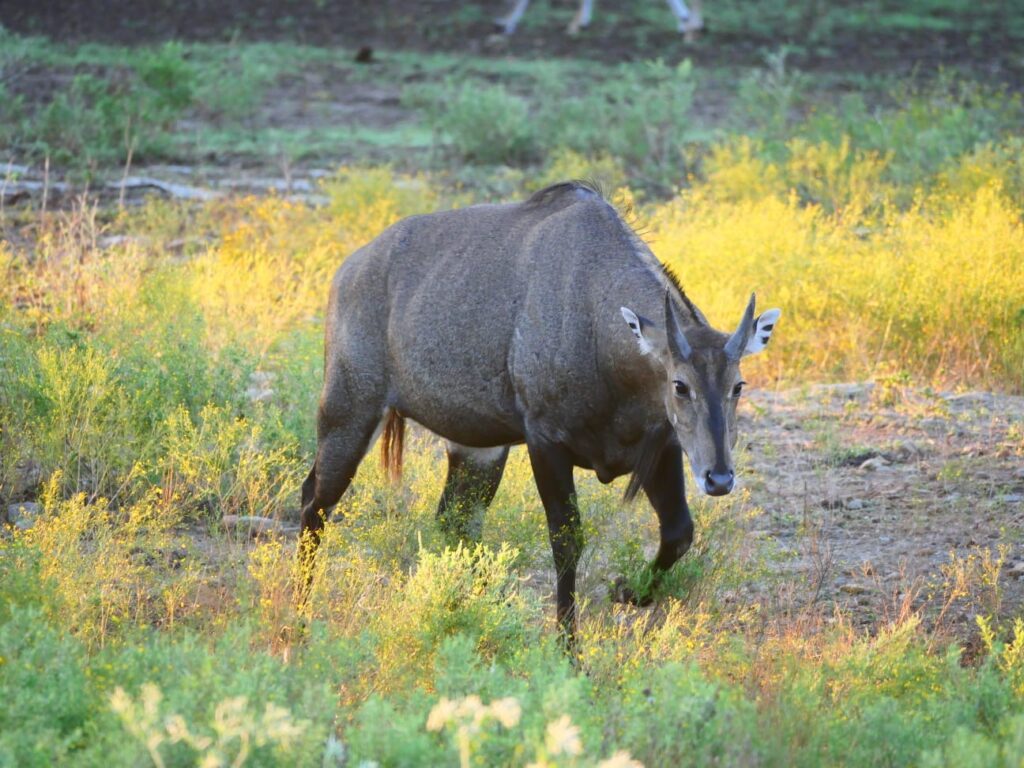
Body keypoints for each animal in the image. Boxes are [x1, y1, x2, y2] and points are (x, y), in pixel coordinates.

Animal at [299, 181, 779, 646]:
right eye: (680, 385)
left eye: (737, 385)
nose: (720, 479)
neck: (593, 317)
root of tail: (349, 269)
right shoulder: (545, 441)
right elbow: (567, 540)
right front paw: (569, 650)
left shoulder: (659, 447)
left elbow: (679, 532)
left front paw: (626, 590)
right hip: (350, 411)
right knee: (315, 502)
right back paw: (299, 622)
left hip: (478, 447)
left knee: (456, 520)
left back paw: (487, 614)